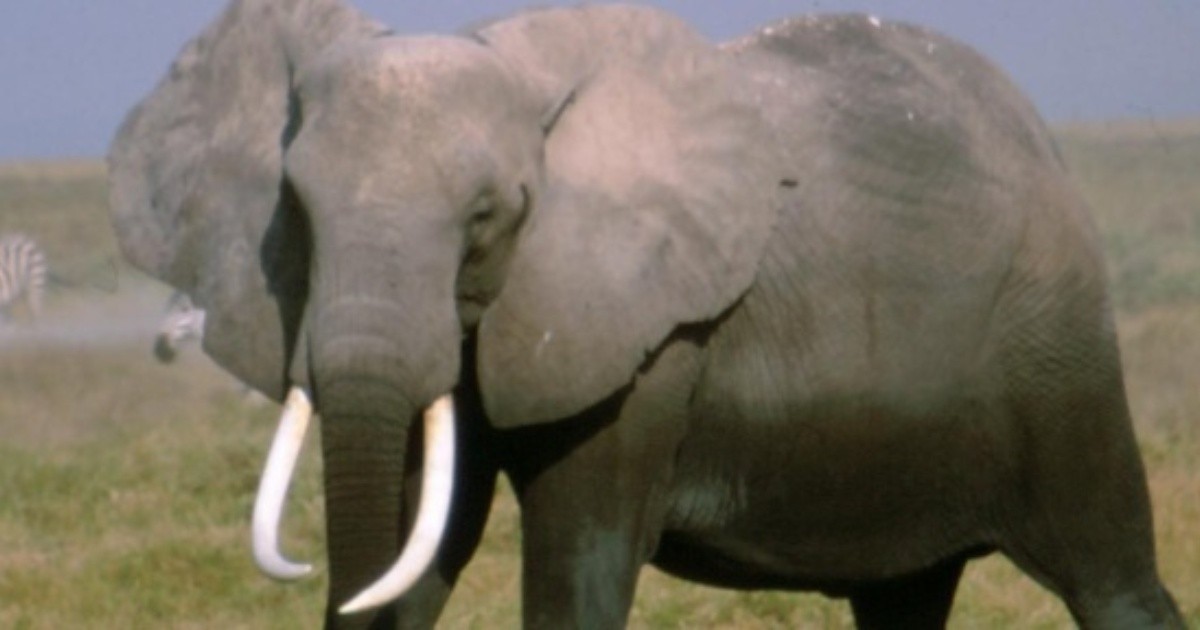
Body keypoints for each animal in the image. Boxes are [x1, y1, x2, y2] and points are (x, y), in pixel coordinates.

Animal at [107, 1, 1185, 628]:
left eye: (488, 215)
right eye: (294, 207)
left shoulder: (648, 333)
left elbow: (578, 564)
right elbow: (426, 537)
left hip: (1053, 348)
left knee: (1112, 580)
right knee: (903, 600)